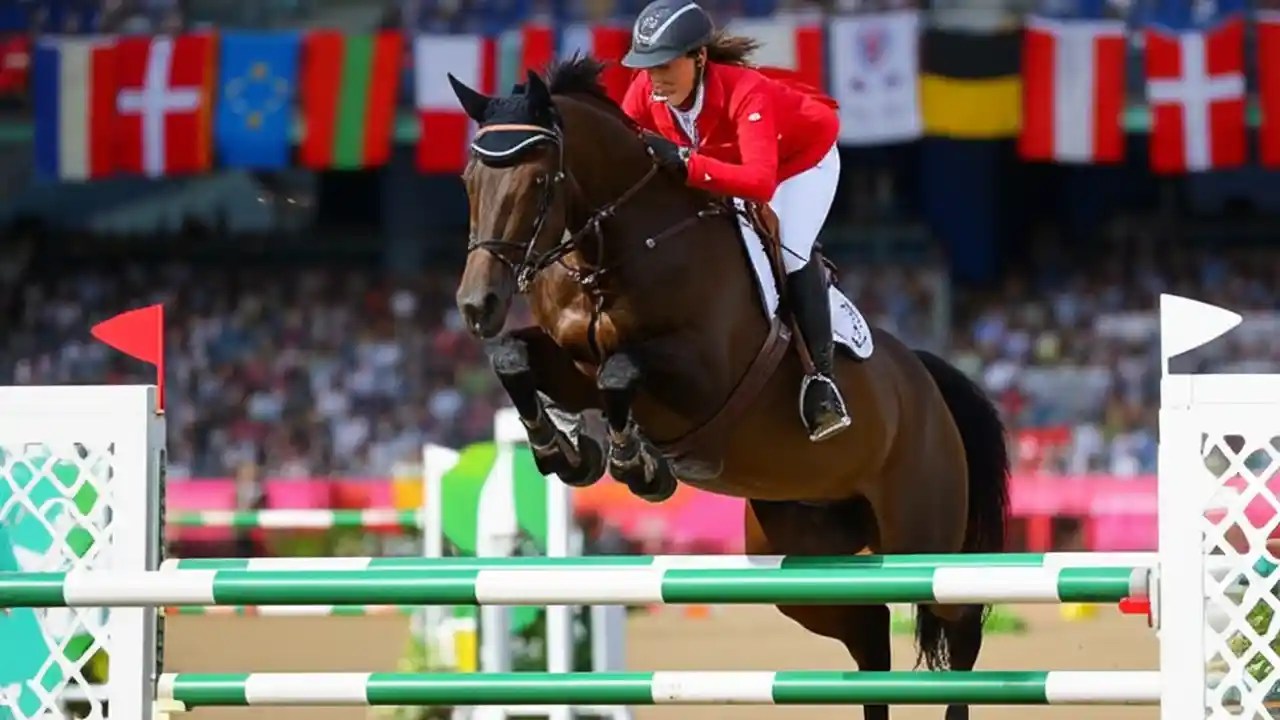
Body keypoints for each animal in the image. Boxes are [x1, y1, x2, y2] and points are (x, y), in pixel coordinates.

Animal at [447, 57, 1010, 720]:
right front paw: (565, 451)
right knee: (870, 634)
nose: (476, 306)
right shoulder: (571, 360)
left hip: (925, 538)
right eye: (467, 180)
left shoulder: (699, 377)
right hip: (806, 558)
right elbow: (515, 359)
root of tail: (926, 380)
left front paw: (638, 464)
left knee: (959, 622)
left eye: (536, 182)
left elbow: (621, 371)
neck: (616, 248)